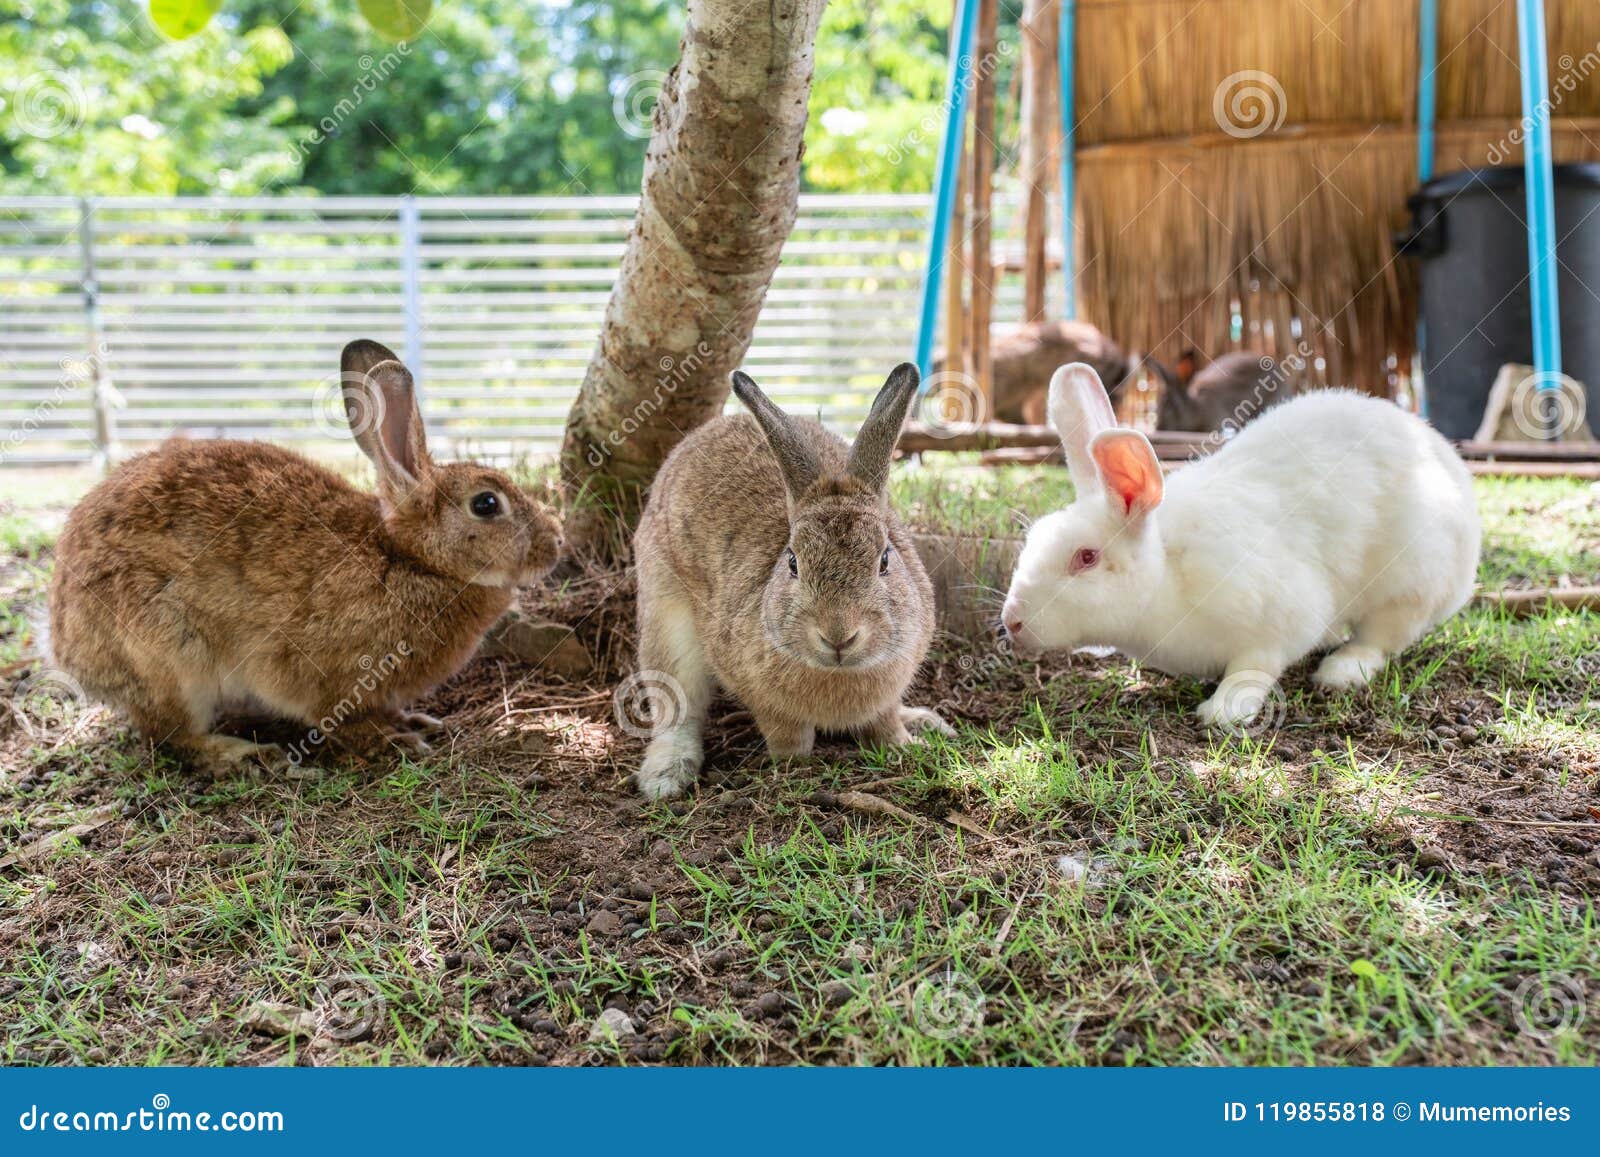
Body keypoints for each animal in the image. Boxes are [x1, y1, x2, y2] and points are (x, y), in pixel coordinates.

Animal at [46, 339, 564, 774]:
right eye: (486, 504)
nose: (556, 542)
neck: (411, 559)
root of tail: (61, 638)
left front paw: (412, 721)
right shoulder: (325, 673)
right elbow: (336, 717)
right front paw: (392, 740)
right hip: (168, 654)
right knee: (170, 735)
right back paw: (244, 754)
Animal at [629, 363, 953, 800]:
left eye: (885, 560)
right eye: (793, 562)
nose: (839, 636)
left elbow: (884, 721)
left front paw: (904, 745)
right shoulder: (760, 696)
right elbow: (786, 733)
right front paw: (794, 764)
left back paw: (926, 722)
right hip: (665, 619)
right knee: (676, 705)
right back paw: (665, 777)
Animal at [1001, 363, 1480, 729]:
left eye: (1086, 557)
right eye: (1033, 538)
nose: (1012, 622)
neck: (1166, 571)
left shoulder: (1275, 622)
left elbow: (1254, 667)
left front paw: (1224, 710)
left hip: (1406, 585)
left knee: (1380, 639)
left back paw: (1341, 669)